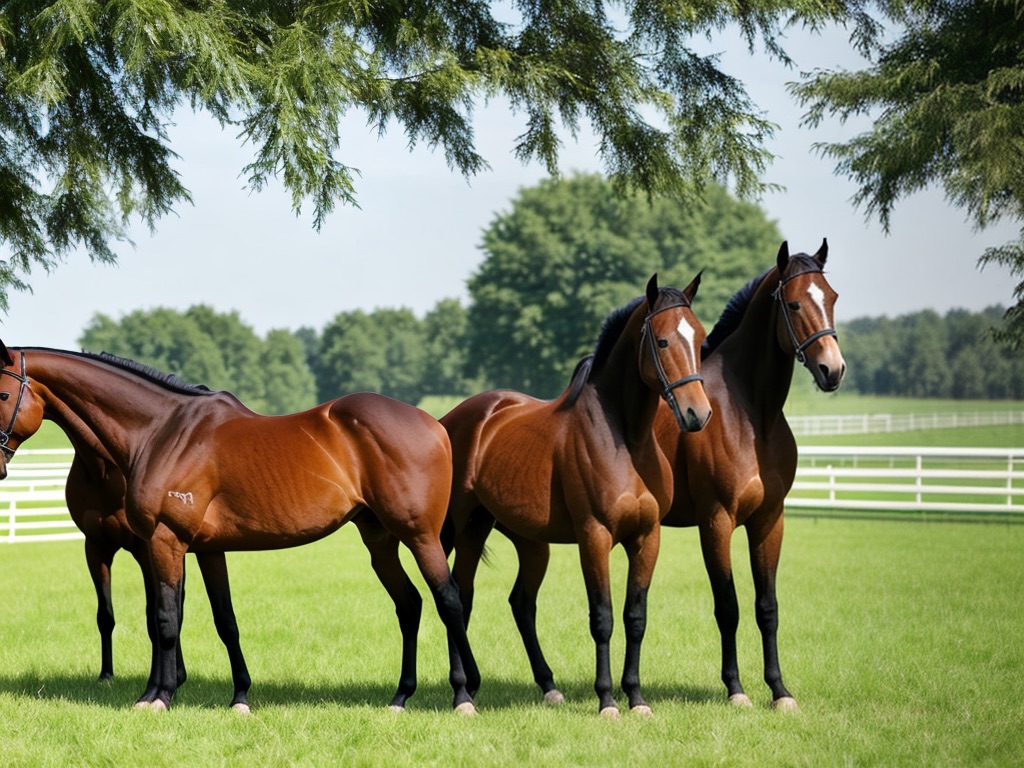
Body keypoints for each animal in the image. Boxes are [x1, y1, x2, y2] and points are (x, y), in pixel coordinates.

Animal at [0, 342, 479, 716]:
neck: (162, 432)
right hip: (380, 540)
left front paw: (159, 698)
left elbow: (165, 619)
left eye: (3, 393)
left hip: (419, 536)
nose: (0, 465)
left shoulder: (165, 541)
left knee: (449, 599)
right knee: (410, 605)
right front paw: (239, 697)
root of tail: (436, 425)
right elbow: (222, 619)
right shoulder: (205, 549)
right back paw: (400, 697)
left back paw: (463, 697)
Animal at [440, 274, 712, 716]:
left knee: (513, 602)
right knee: (457, 598)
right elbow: (602, 617)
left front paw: (637, 698)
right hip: (463, 529)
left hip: (523, 540)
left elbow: (635, 616)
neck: (626, 439)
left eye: (701, 338)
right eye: (662, 340)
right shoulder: (594, 536)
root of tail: (454, 420)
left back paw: (542, 686)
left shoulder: (647, 536)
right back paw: (463, 692)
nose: (697, 414)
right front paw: (607, 701)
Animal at [655, 239, 847, 708]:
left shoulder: (769, 520)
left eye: (832, 298)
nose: (832, 371)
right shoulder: (717, 521)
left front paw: (779, 690)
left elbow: (767, 606)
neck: (749, 415)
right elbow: (728, 606)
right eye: (794, 303)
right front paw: (736, 689)